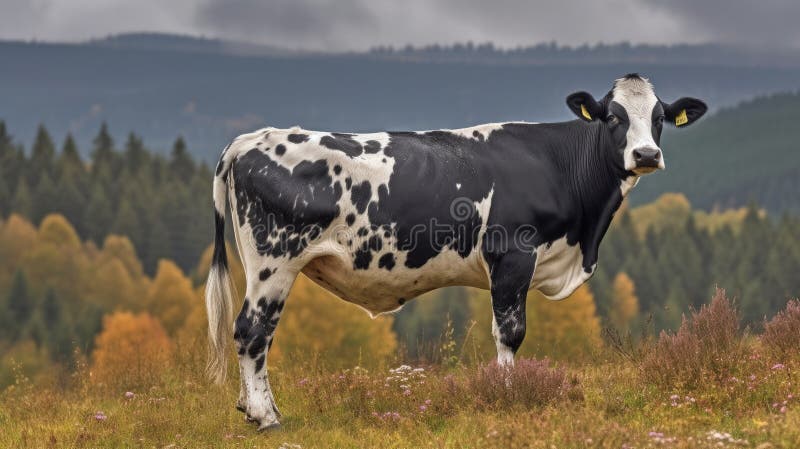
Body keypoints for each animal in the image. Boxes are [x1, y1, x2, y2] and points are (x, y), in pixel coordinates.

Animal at [205, 74, 707, 430]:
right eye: (613, 117)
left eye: (659, 117)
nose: (646, 155)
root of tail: (251, 139)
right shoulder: (513, 254)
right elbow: (510, 332)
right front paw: (507, 396)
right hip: (274, 260)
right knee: (252, 331)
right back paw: (267, 417)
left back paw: (249, 407)